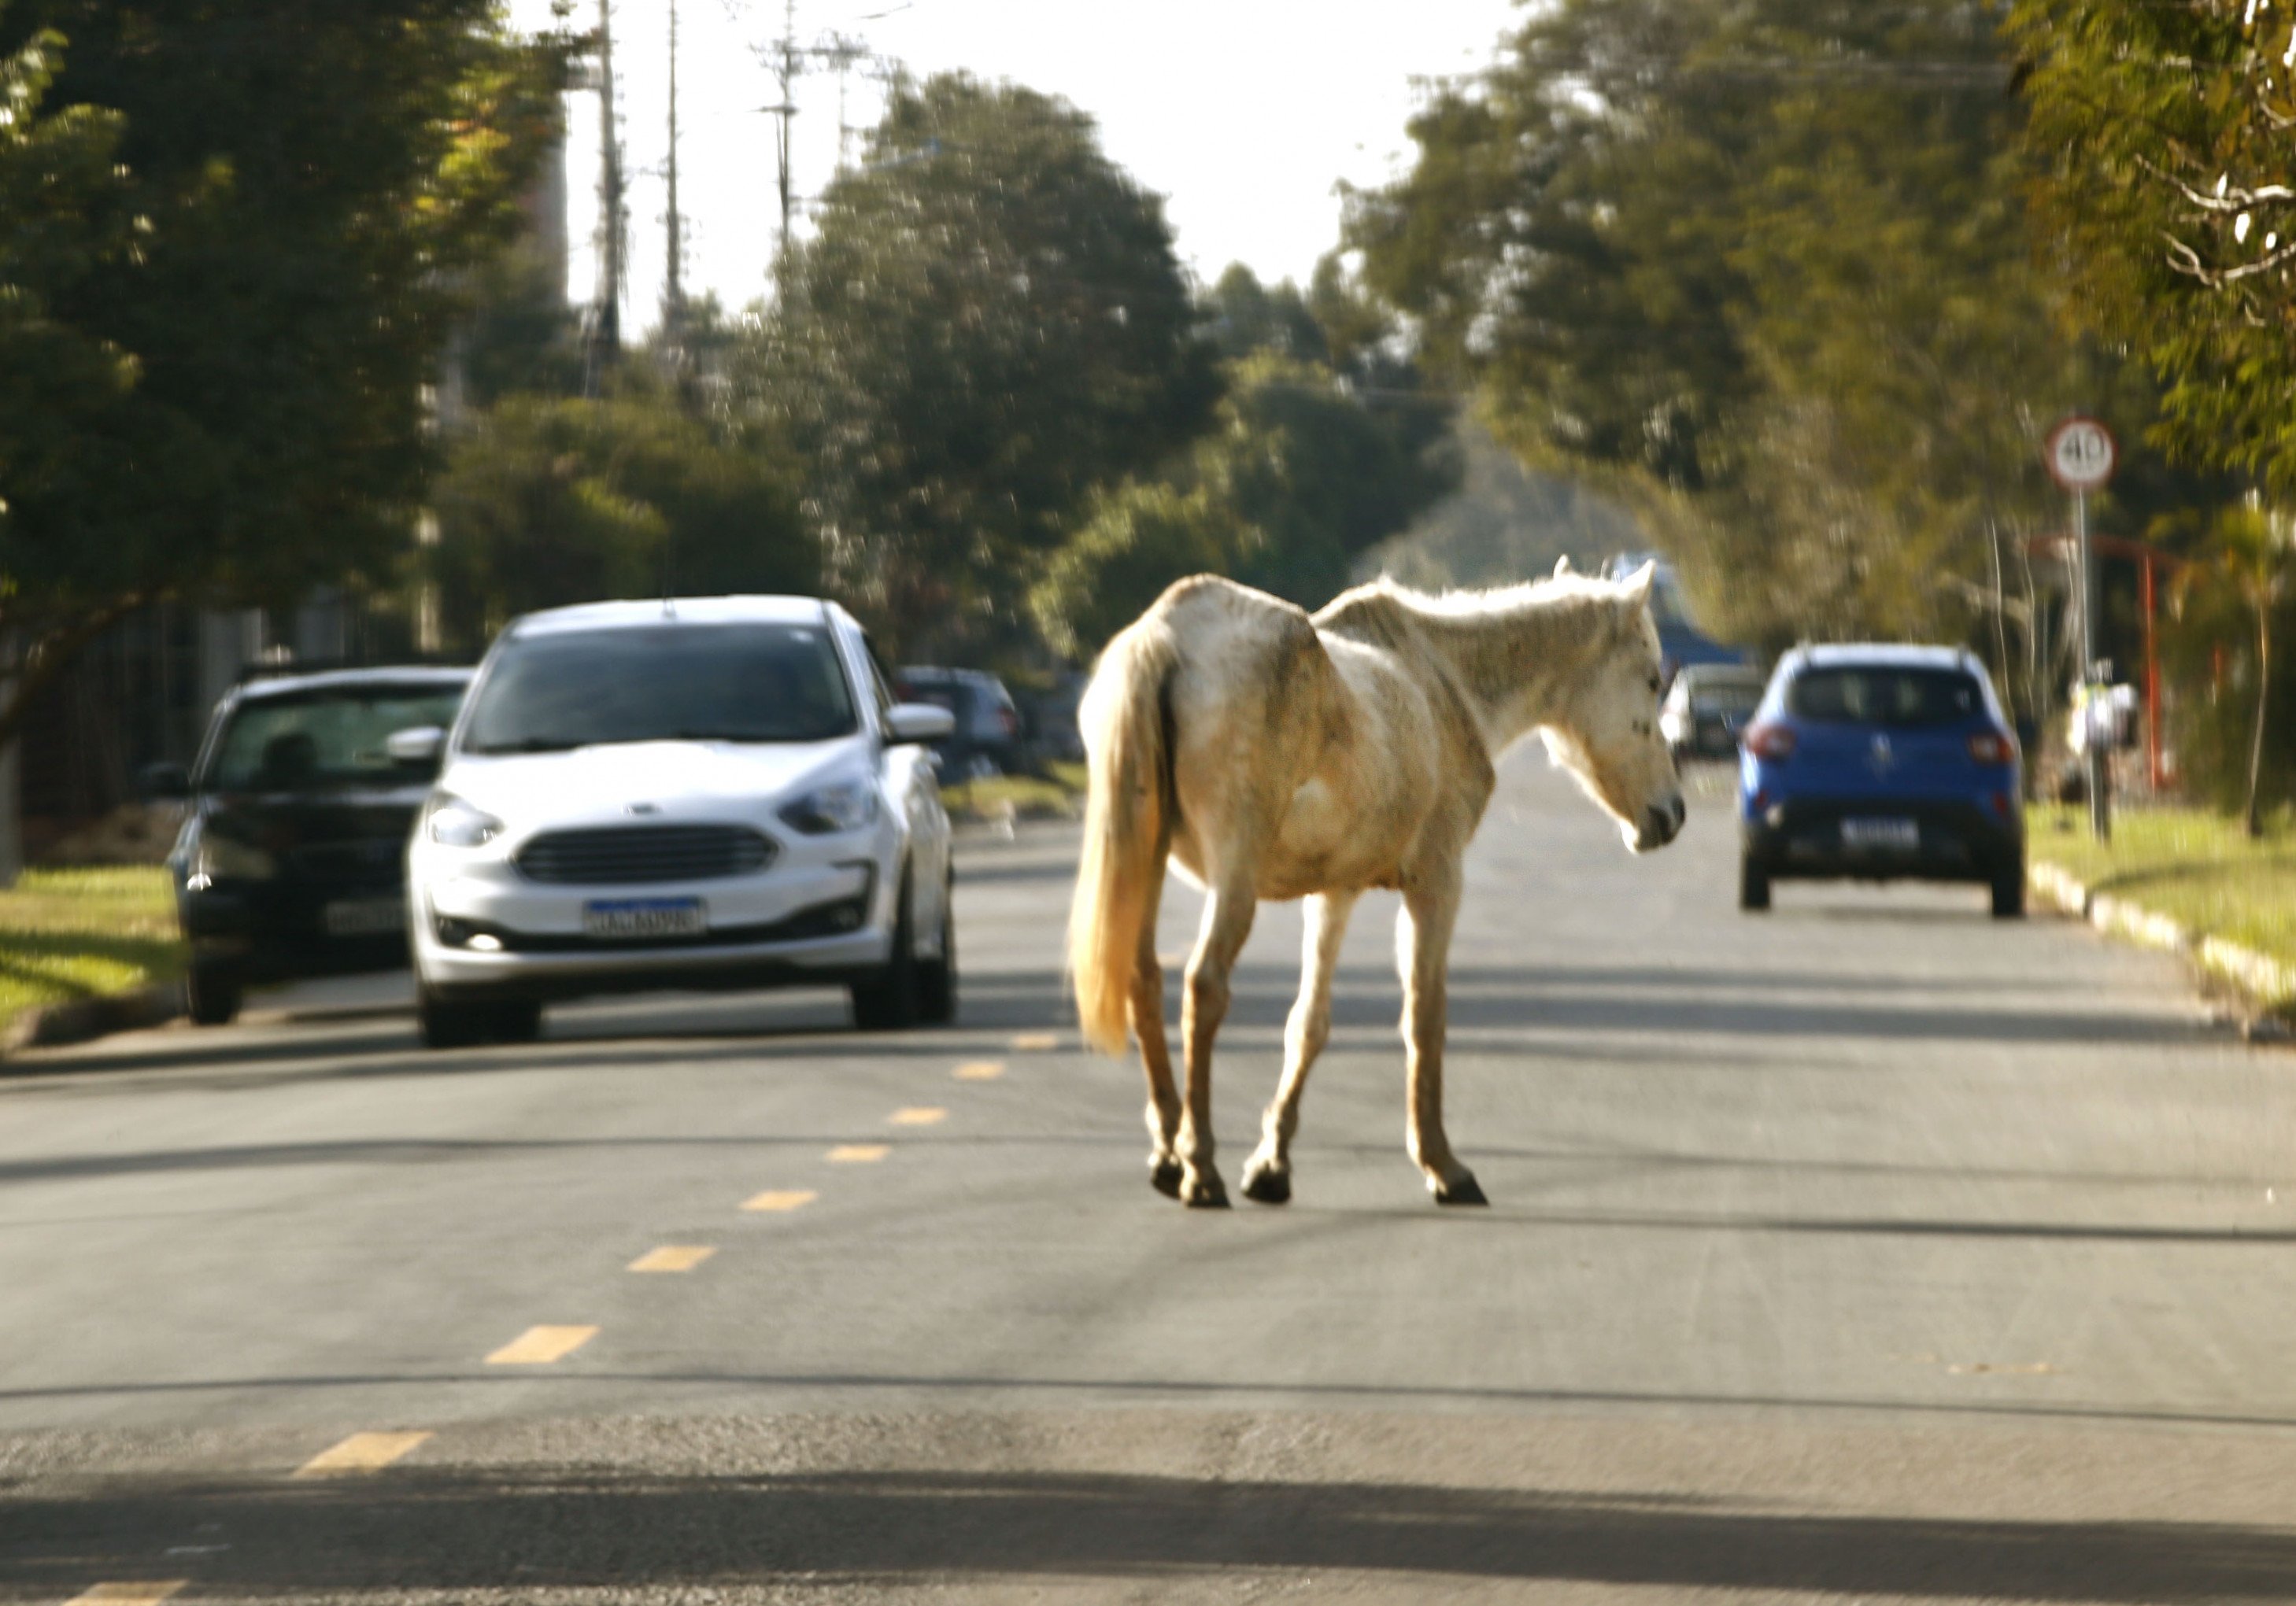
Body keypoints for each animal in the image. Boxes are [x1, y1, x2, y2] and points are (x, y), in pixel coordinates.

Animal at [1066, 559, 1686, 1209]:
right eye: (1651, 680)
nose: (1670, 814)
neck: (1442, 680)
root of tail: (1167, 636)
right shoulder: (1436, 884)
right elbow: (1424, 1016)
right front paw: (1442, 1165)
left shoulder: (1332, 894)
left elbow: (1308, 1024)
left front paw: (1271, 1164)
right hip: (1231, 878)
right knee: (1204, 985)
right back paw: (1199, 1165)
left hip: (1148, 861)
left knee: (1142, 979)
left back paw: (1167, 1151)